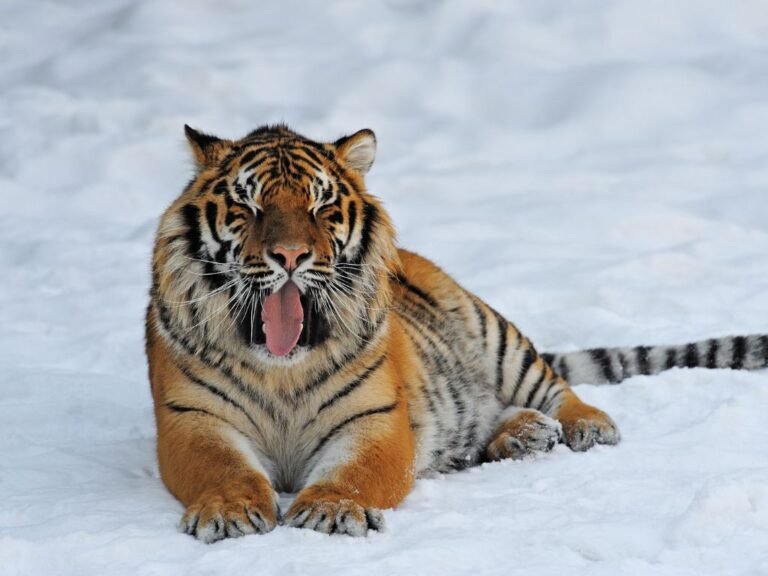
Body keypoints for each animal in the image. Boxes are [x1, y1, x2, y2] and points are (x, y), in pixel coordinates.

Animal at [146, 123, 768, 542]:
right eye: (248, 206)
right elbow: (223, 466)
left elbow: (355, 474)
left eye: (321, 206)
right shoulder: (192, 419)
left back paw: (582, 425)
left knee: (554, 386)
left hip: (494, 334)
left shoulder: (377, 421)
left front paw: (331, 509)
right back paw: (524, 434)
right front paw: (229, 510)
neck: (284, 367)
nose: (291, 255)